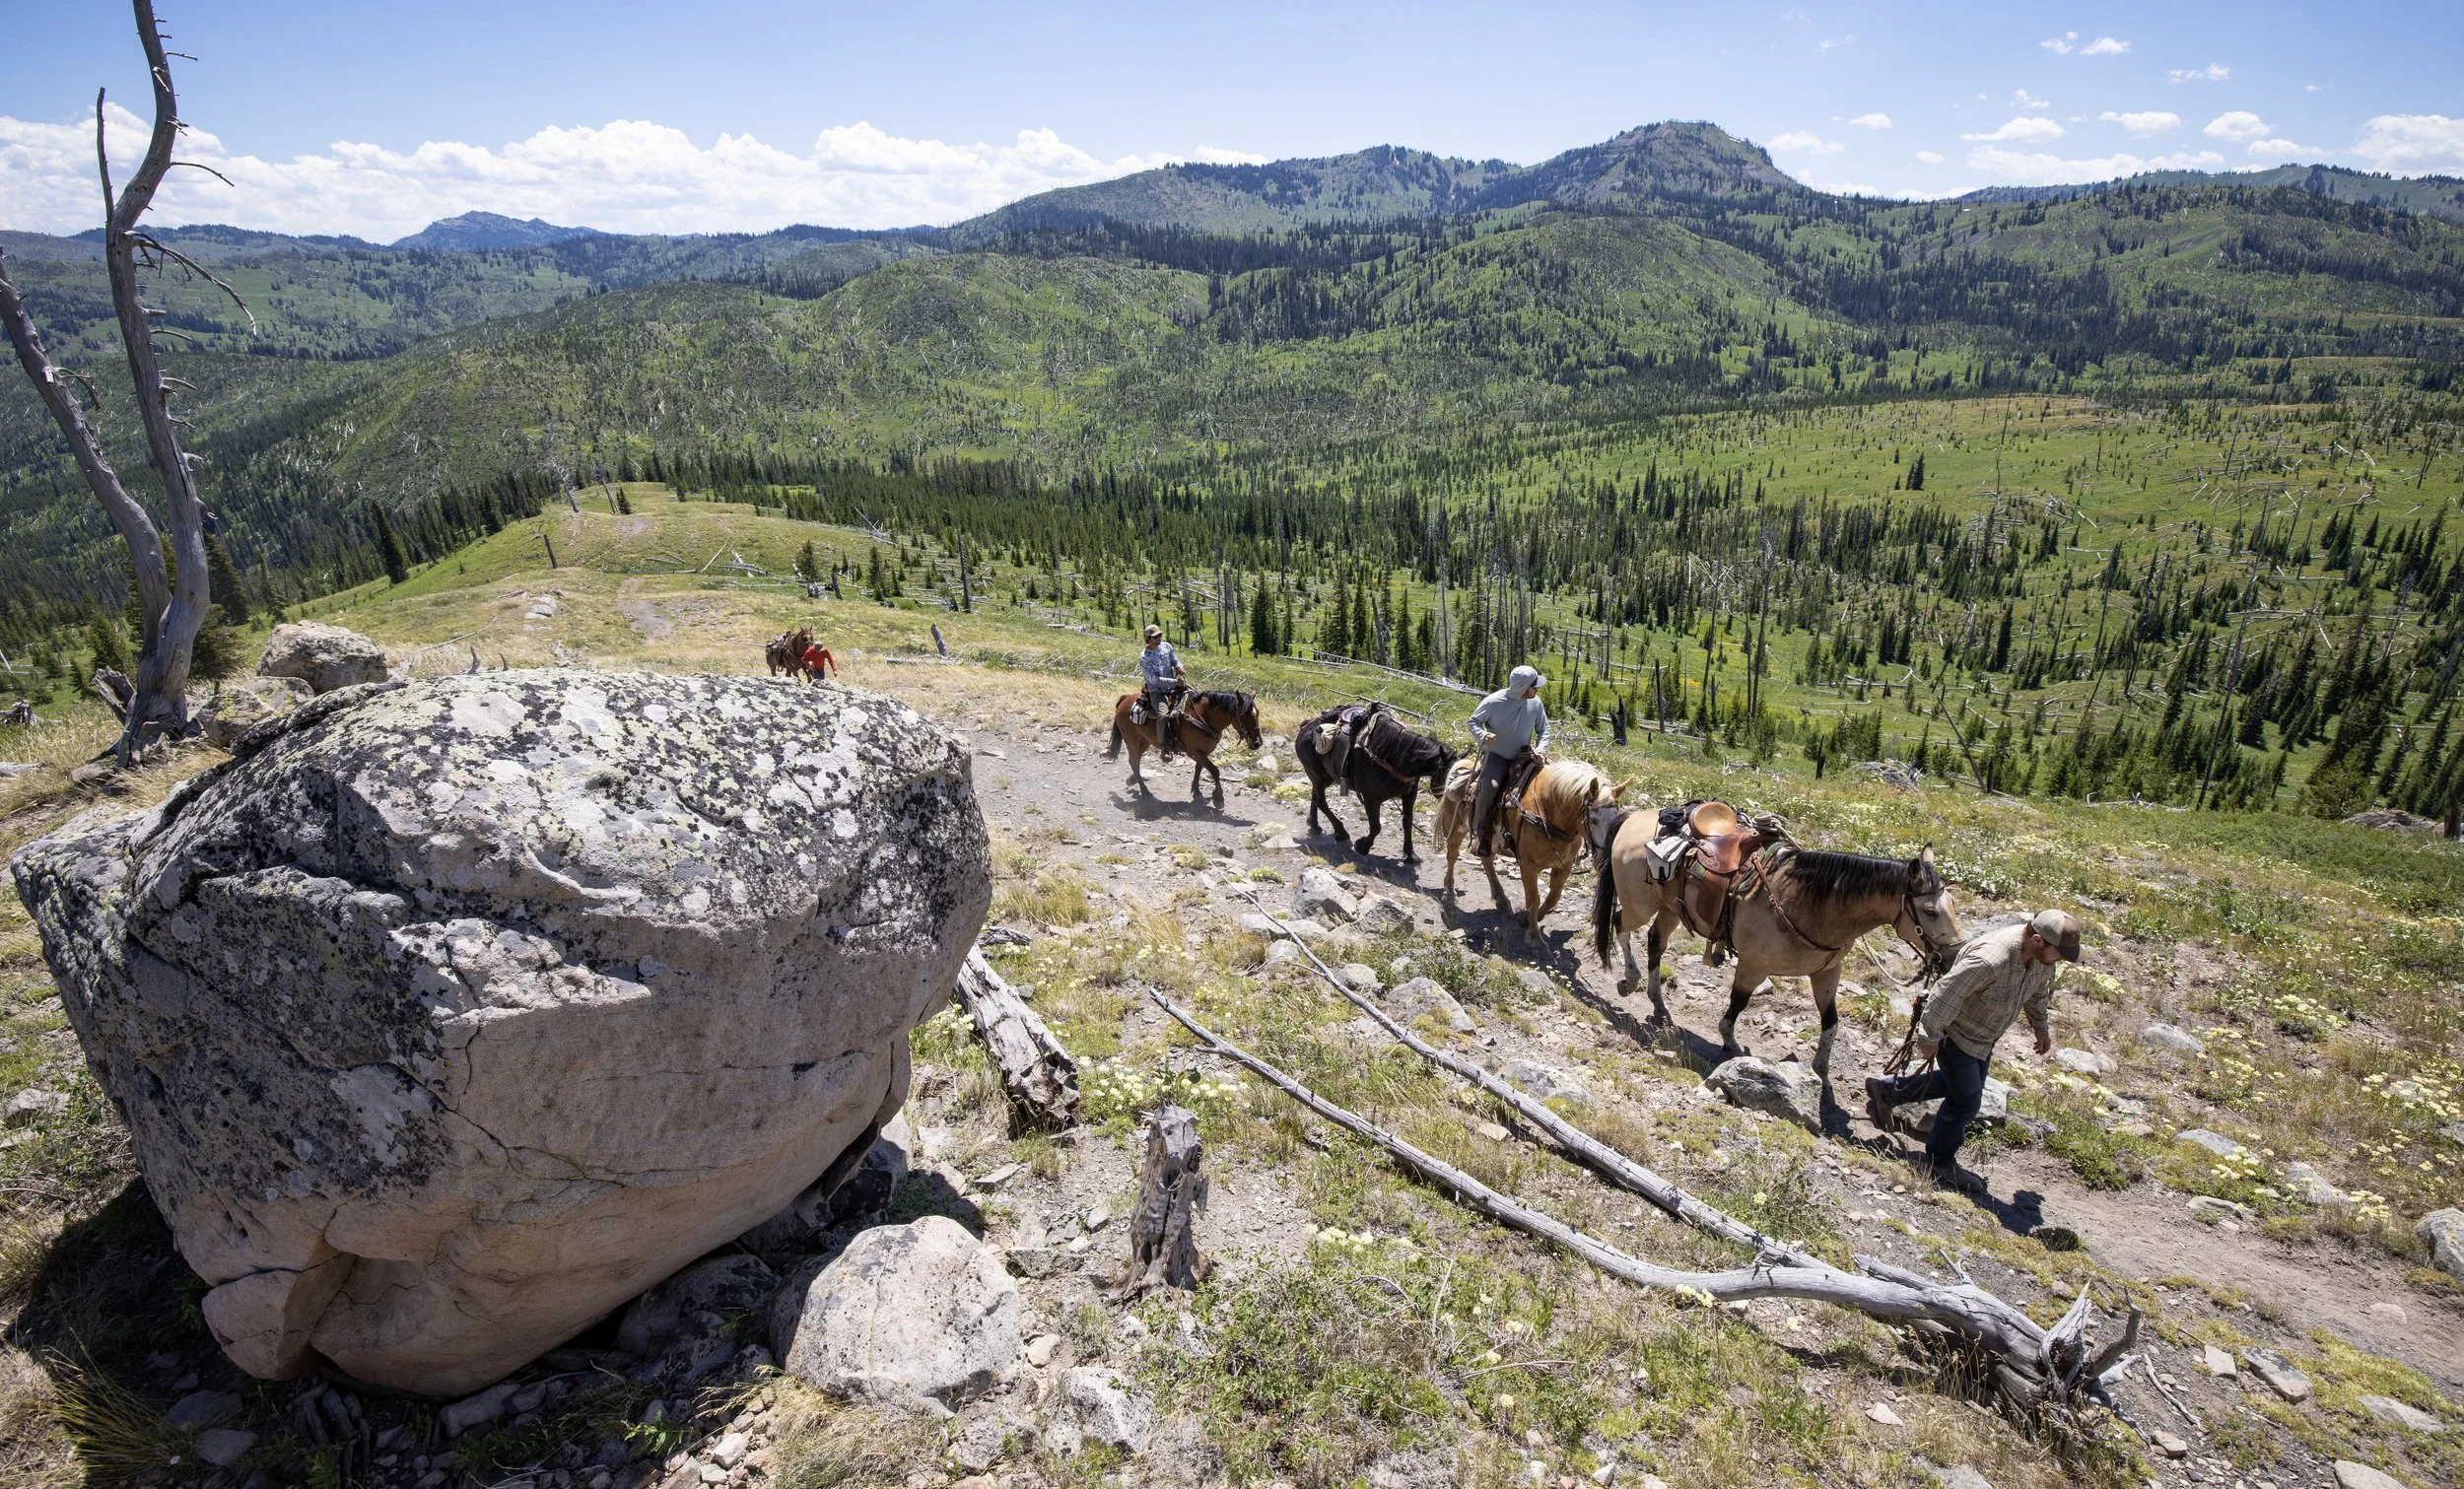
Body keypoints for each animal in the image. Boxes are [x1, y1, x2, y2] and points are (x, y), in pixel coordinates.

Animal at [1107, 689, 1262, 807]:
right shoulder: (1193, 752)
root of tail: (1125, 699)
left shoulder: (1203, 752)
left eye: (1258, 713)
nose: (1258, 743)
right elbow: (1214, 771)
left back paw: (1132, 780)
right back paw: (1146, 792)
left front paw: (1197, 792)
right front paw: (1218, 798)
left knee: (1136, 761)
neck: (1203, 716)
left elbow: (1199, 769)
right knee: (1134, 761)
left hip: (1144, 741)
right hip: (1131, 740)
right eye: (1245, 714)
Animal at [1294, 707, 1458, 864]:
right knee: (1322, 802)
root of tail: (1307, 725)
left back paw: (1314, 826)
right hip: (1317, 775)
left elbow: (1407, 823)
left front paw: (1410, 855)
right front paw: (1362, 846)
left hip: (1326, 777)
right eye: (1451, 776)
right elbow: (1376, 827)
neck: (1395, 758)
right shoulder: (1370, 799)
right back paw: (1341, 833)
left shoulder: (1409, 795)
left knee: (1315, 796)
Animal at [1436, 758, 1618, 937]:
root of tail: (1463, 763)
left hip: (1487, 841)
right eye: (1594, 820)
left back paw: (1502, 900)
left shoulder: (1565, 865)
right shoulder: (1528, 865)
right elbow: (1533, 899)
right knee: (1452, 856)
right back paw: (1449, 893)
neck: (1547, 813)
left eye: (1617, 819)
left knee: (1487, 860)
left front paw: (1527, 919)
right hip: (1456, 828)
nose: (1604, 860)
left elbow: (1554, 897)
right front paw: (1534, 936)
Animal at [1590, 813, 1966, 1076]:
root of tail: (1634, 816)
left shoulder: (1827, 972)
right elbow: (1737, 1005)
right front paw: (1730, 1042)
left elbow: (1831, 1023)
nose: (1953, 957)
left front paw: (1820, 1069)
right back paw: (1629, 981)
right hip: (1641, 905)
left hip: (1672, 909)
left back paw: (1658, 1003)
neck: (1807, 903)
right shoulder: (1753, 966)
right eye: (1930, 911)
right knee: (1620, 924)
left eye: (1953, 906)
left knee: (1655, 943)